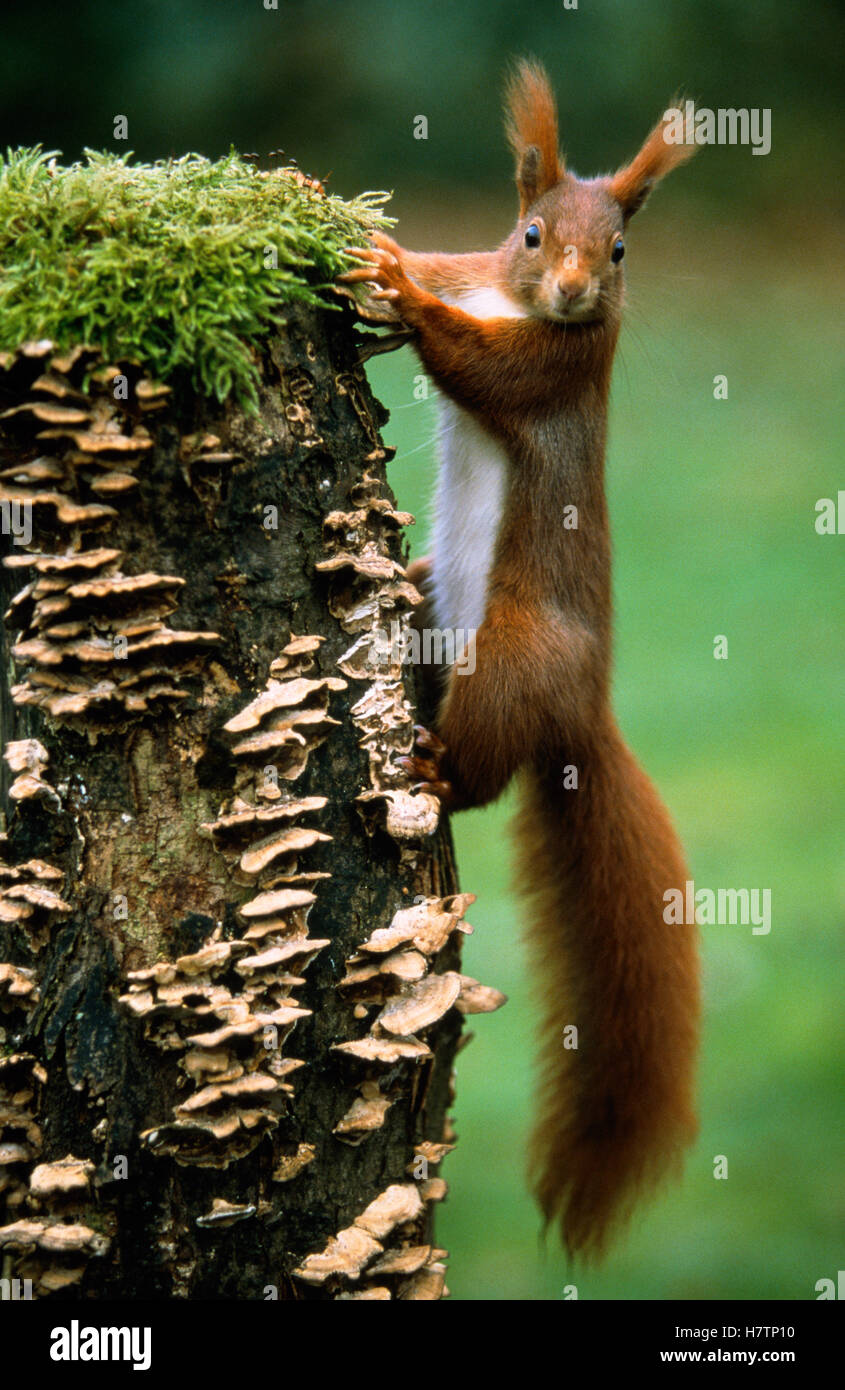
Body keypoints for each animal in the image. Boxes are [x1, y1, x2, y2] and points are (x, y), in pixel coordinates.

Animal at [339, 59, 700, 1261]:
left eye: (622, 250)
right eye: (532, 232)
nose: (576, 293)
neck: (515, 300)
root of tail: (582, 710)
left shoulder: (555, 369)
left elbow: (480, 367)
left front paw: (401, 295)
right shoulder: (484, 275)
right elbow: (446, 281)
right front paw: (361, 229)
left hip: (508, 656)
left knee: (485, 771)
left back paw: (436, 771)